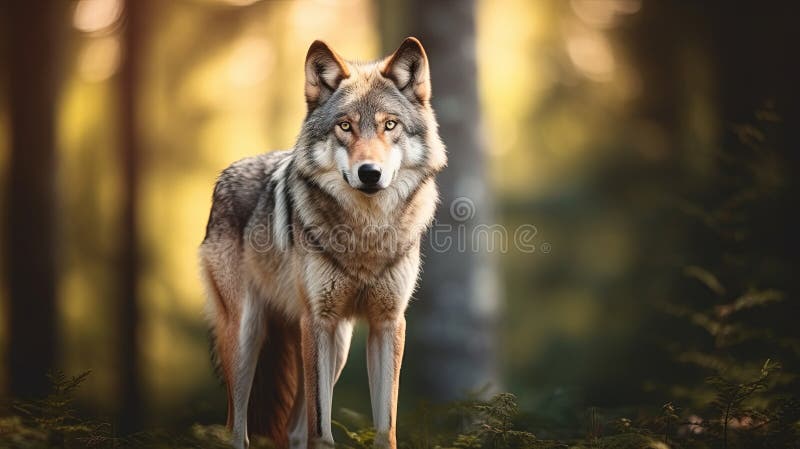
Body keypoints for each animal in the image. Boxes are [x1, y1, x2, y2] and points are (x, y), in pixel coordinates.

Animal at [199, 37, 446, 449]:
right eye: (345, 126)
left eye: (390, 125)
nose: (370, 173)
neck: (365, 232)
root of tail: (224, 176)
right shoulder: (317, 322)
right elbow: (321, 429)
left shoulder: (387, 324)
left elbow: (385, 427)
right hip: (248, 336)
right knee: (236, 426)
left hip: (337, 344)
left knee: (292, 428)